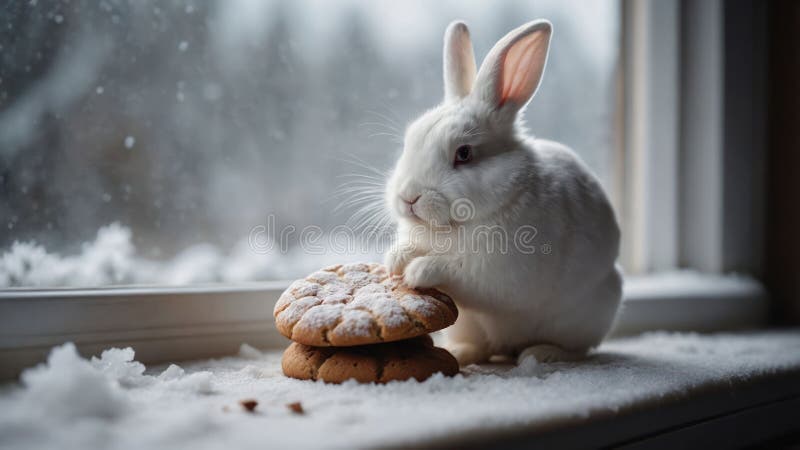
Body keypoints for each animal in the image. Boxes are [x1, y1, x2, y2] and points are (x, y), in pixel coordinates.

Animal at [383, 20, 622, 366]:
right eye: (409, 140)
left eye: (464, 153)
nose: (408, 198)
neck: (452, 227)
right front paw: (395, 260)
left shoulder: (497, 274)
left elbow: (457, 270)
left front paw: (418, 271)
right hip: (469, 326)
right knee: (481, 347)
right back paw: (461, 353)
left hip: (586, 317)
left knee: (578, 350)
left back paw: (540, 355)